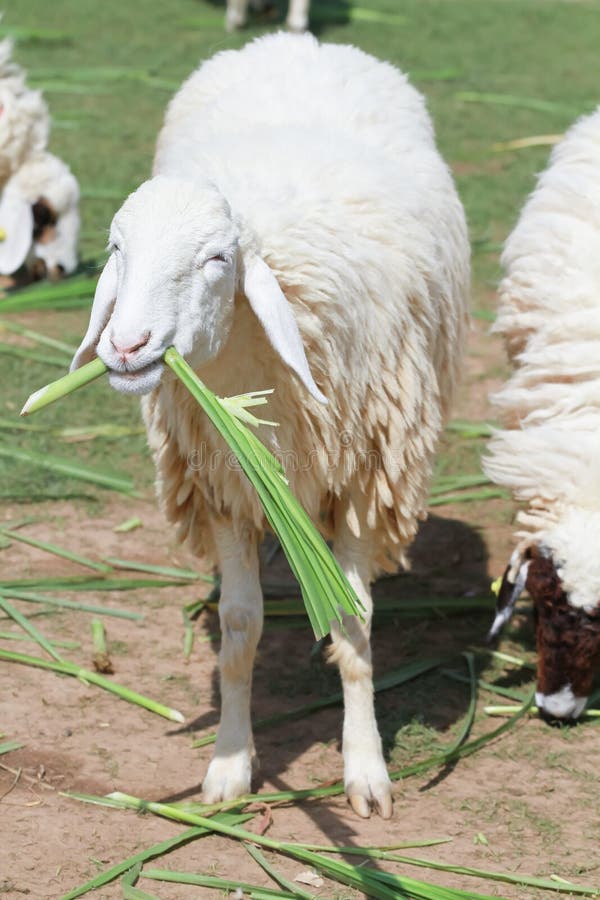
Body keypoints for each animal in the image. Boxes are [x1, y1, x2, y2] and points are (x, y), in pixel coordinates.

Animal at [70, 32, 470, 817]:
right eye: (117, 249)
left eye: (217, 258)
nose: (126, 347)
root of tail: (296, 40)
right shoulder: (223, 481)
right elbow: (240, 628)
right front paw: (230, 762)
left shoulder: (362, 478)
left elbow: (354, 623)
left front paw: (366, 768)